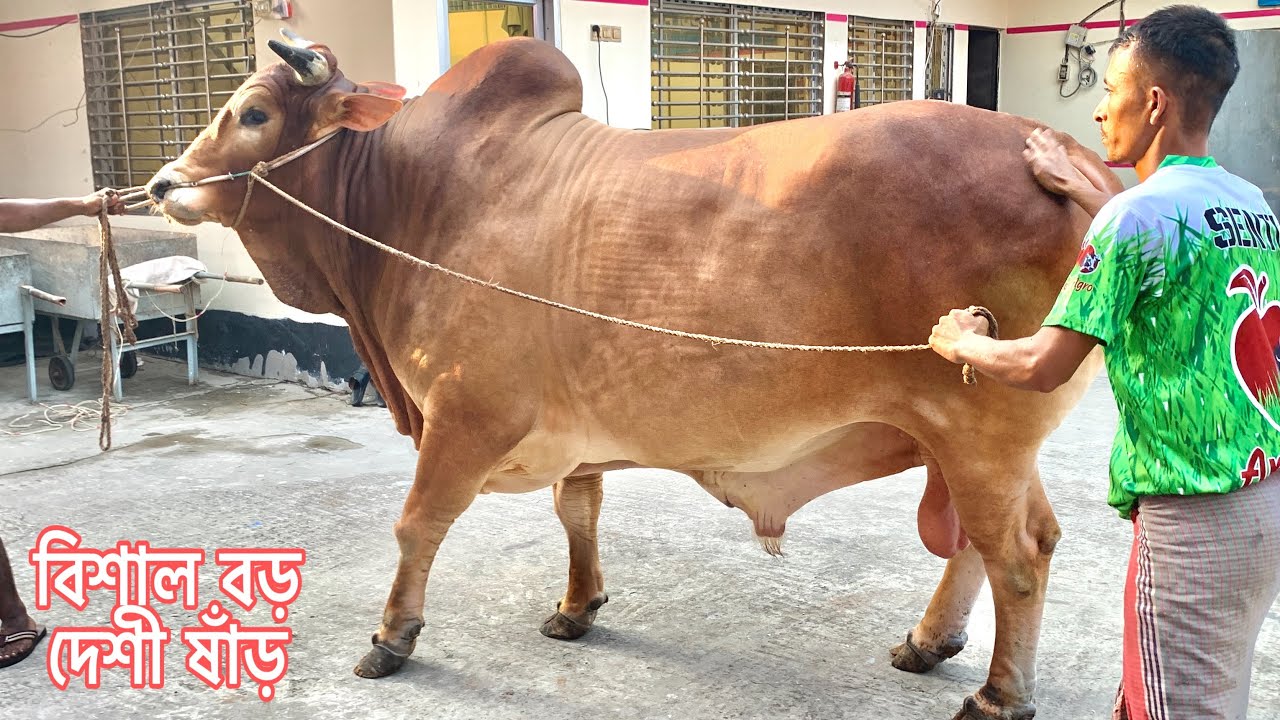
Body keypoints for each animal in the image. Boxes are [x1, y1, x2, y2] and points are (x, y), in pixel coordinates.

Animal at [147, 32, 1122, 719]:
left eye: (254, 114)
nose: (160, 185)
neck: (410, 201)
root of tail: (1073, 162)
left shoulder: (464, 414)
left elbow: (416, 526)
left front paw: (393, 637)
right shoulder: (570, 433)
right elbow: (577, 511)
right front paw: (579, 606)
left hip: (980, 430)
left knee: (1017, 555)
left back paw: (999, 693)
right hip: (977, 442)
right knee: (997, 543)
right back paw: (929, 642)